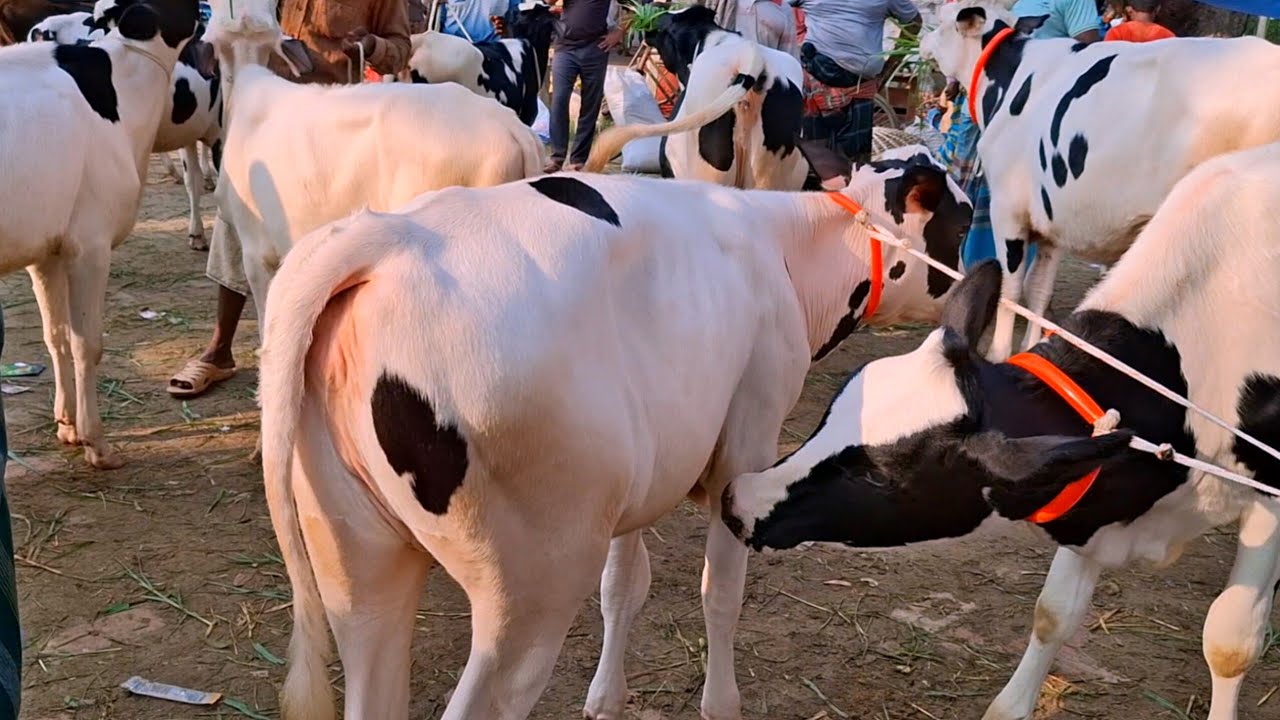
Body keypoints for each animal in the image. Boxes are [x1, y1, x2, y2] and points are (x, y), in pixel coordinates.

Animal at [0, 0, 201, 468]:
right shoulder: (89, 245)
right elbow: (86, 343)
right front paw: (97, 443)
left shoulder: (47, 249)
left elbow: (55, 336)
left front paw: (67, 425)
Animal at [254, 155, 970, 720]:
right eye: (962, 223)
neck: (788, 245)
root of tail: (390, 233)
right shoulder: (747, 440)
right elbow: (721, 594)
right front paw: (720, 705)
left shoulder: (640, 481)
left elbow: (622, 587)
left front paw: (605, 699)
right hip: (531, 582)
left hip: (355, 561)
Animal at [723, 141, 1280, 720]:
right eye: (831, 411)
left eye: (877, 477)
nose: (739, 499)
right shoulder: (1083, 493)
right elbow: (1053, 614)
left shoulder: (1268, 498)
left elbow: (1230, 641)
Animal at [919, 0, 1280, 362]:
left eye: (941, 22)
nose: (920, 42)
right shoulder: (1051, 220)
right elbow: (1038, 289)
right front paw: (1031, 348)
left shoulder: (1008, 209)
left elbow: (1012, 288)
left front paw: (998, 354)